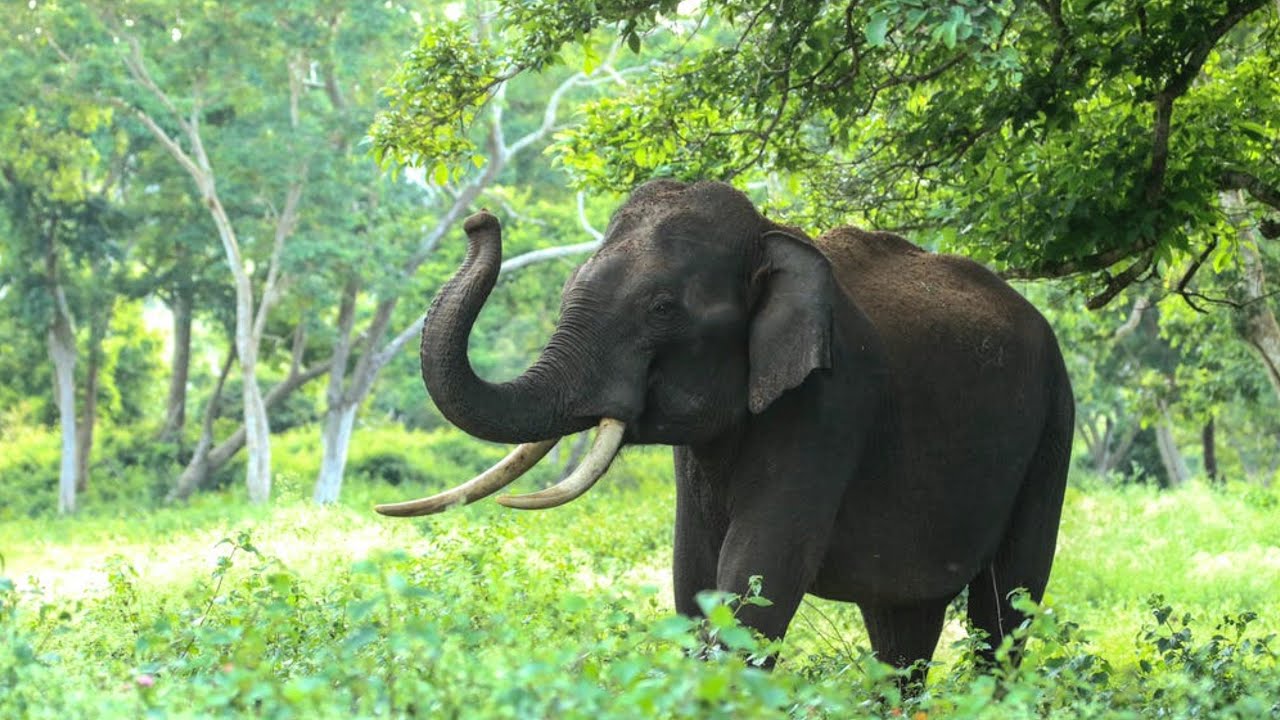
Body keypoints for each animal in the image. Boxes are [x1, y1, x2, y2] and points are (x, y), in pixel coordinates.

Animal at [377, 180, 1074, 683]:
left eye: (661, 308)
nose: (479, 220)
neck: (771, 235)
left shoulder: (829, 405)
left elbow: (758, 576)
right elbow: (695, 576)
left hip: (1053, 426)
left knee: (1006, 607)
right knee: (902, 627)